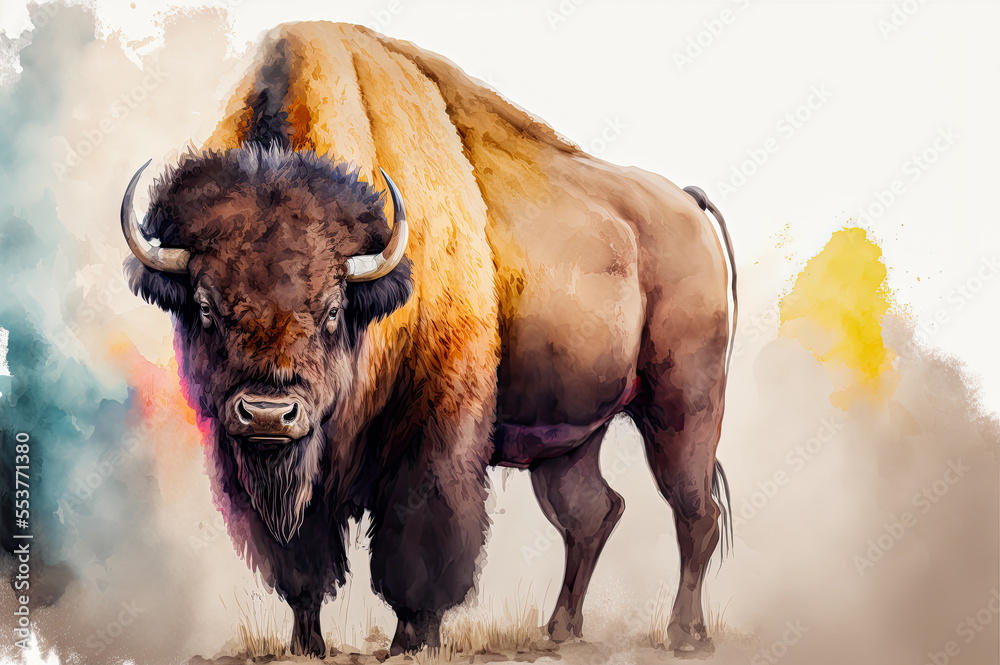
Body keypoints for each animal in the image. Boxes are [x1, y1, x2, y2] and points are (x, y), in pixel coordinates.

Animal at [121, 22, 735, 658]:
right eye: (204, 306)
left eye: (334, 309)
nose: (269, 413)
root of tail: (686, 205)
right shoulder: (253, 459)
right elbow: (301, 566)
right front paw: (307, 646)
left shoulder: (433, 434)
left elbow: (418, 547)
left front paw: (411, 642)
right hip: (568, 441)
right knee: (592, 515)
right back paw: (562, 631)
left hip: (683, 404)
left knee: (695, 512)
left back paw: (686, 635)